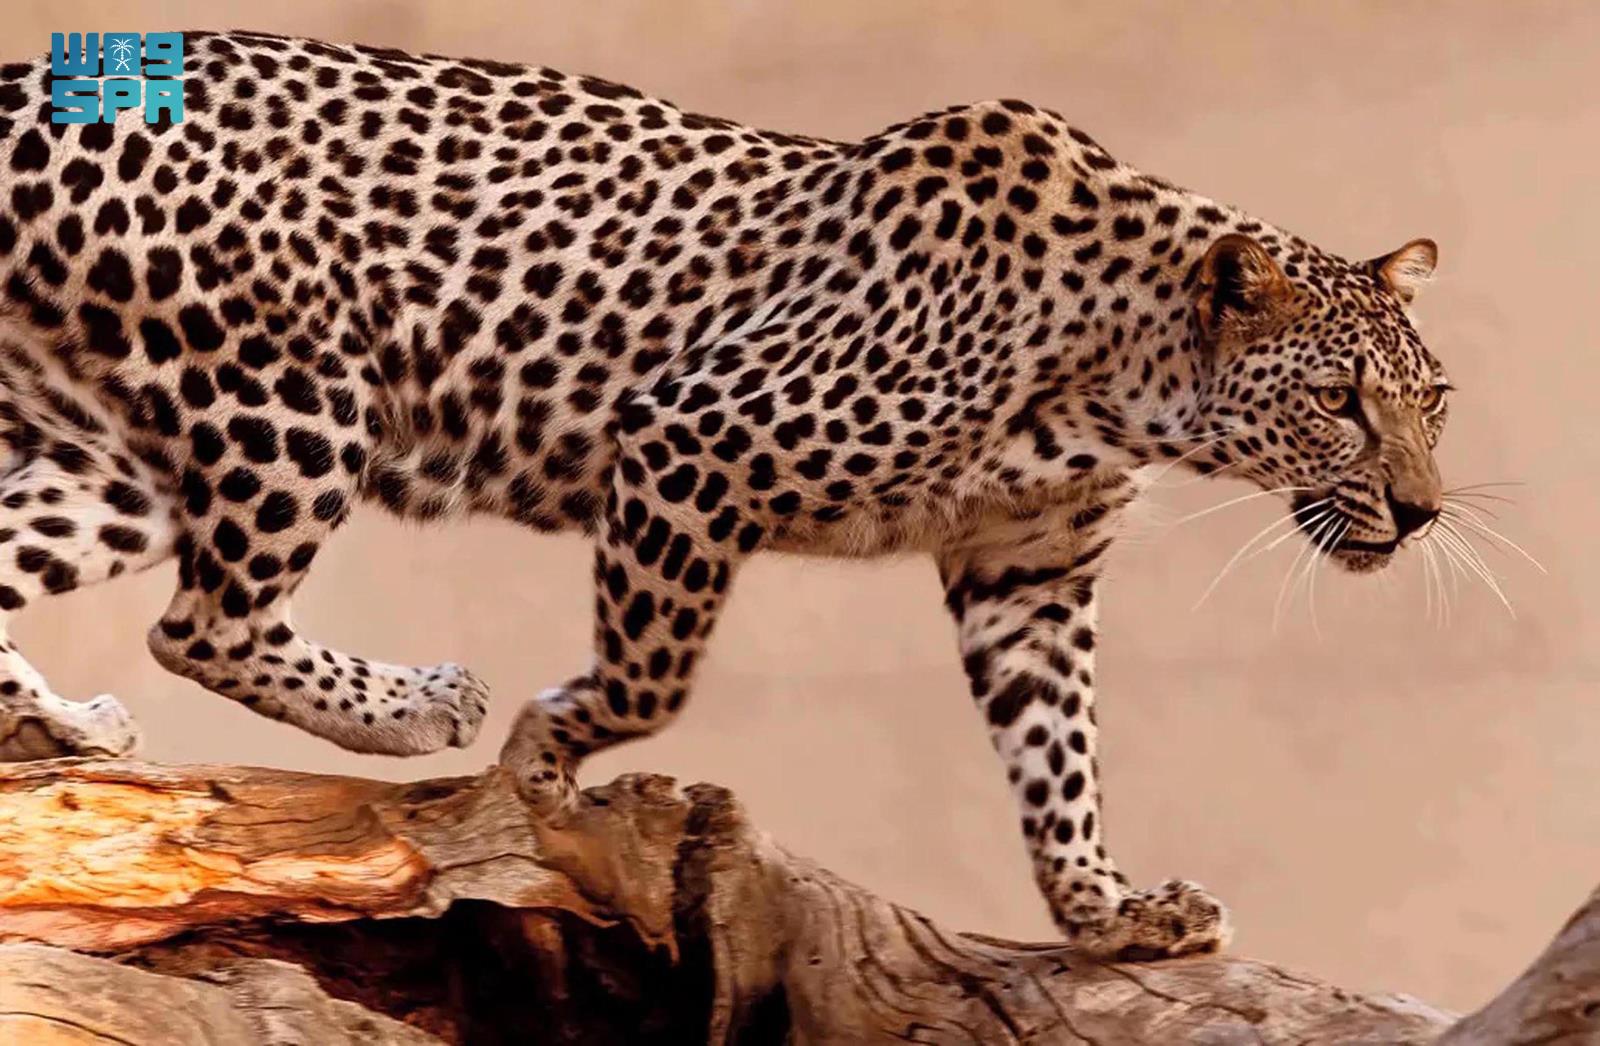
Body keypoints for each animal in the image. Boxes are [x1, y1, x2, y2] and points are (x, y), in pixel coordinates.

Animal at [0, 31, 1449, 960]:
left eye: (1433, 401)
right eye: (1341, 401)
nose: (1426, 510)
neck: (1126, 374)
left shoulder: (1024, 567)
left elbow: (1059, 752)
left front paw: (1107, 908)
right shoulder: (686, 442)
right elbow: (654, 678)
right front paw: (544, 751)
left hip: (123, 457)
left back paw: (55, 726)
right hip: (294, 394)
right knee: (203, 621)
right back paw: (414, 707)